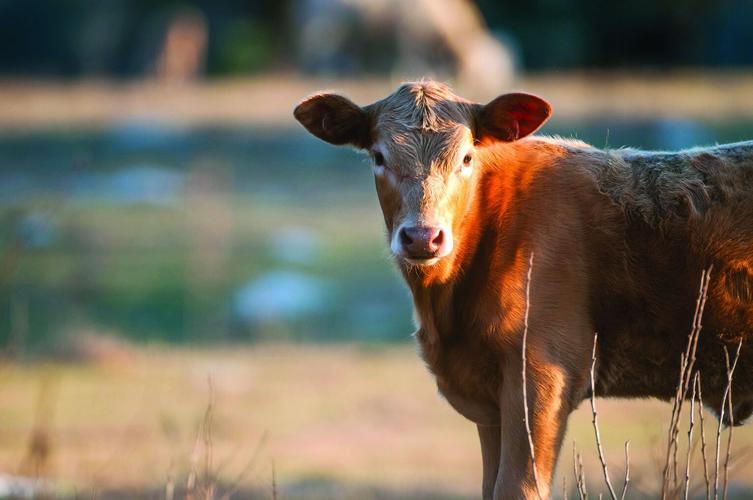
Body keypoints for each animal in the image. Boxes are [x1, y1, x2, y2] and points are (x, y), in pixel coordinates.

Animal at [293, 80, 753, 499]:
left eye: (466, 157)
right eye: (378, 156)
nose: (422, 237)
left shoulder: (542, 374)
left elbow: (519, 487)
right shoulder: (491, 400)